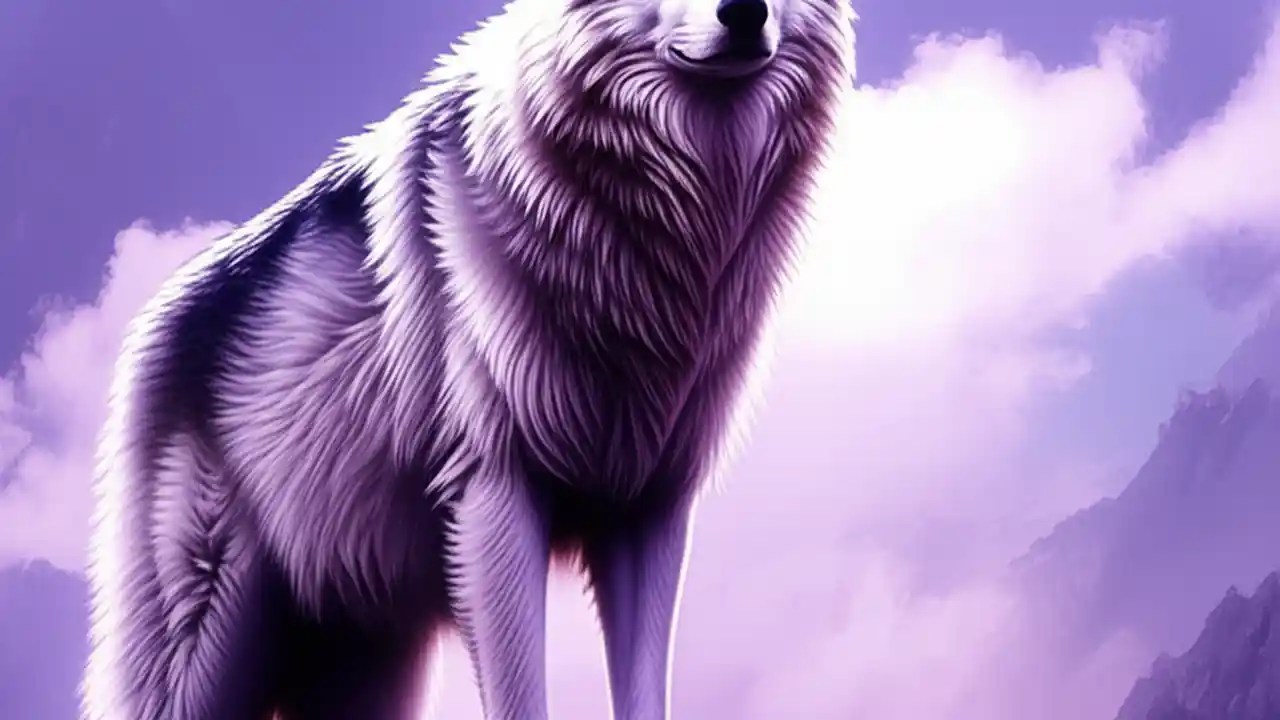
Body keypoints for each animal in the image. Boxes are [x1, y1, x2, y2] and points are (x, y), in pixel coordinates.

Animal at [82, 0, 854, 718]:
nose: (743, 12)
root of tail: (157, 316)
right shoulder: (491, 490)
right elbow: (520, 695)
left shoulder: (652, 504)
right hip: (207, 639)